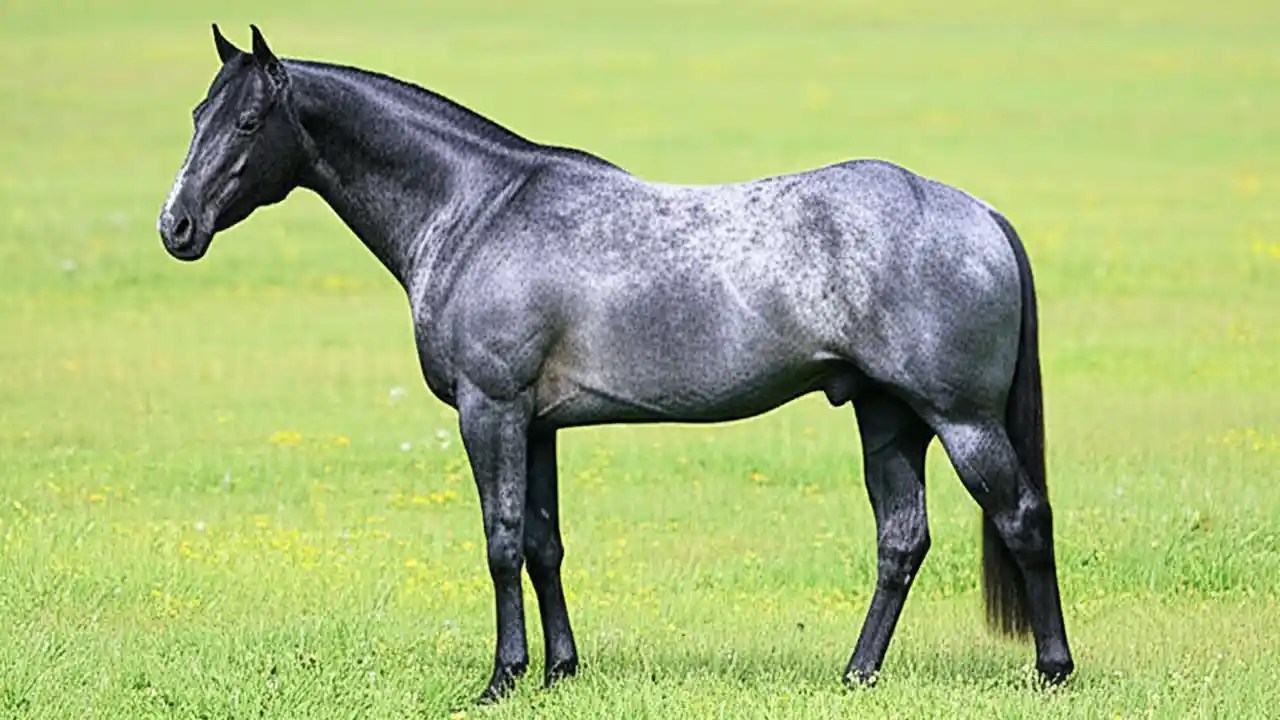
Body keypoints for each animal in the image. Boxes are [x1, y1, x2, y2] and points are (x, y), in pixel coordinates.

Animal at [157, 25, 1074, 702]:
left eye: (246, 123)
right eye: (198, 114)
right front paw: (560, 670)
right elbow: (542, 543)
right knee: (901, 539)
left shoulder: (490, 410)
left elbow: (500, 541)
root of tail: (979, 214)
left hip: (961, 421)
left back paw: (1052, 670)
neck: (479, 208)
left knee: (1023, 519)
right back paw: (856, 675)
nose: (176, 226)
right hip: (889, 417)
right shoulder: (536, 425)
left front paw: (503, 678)